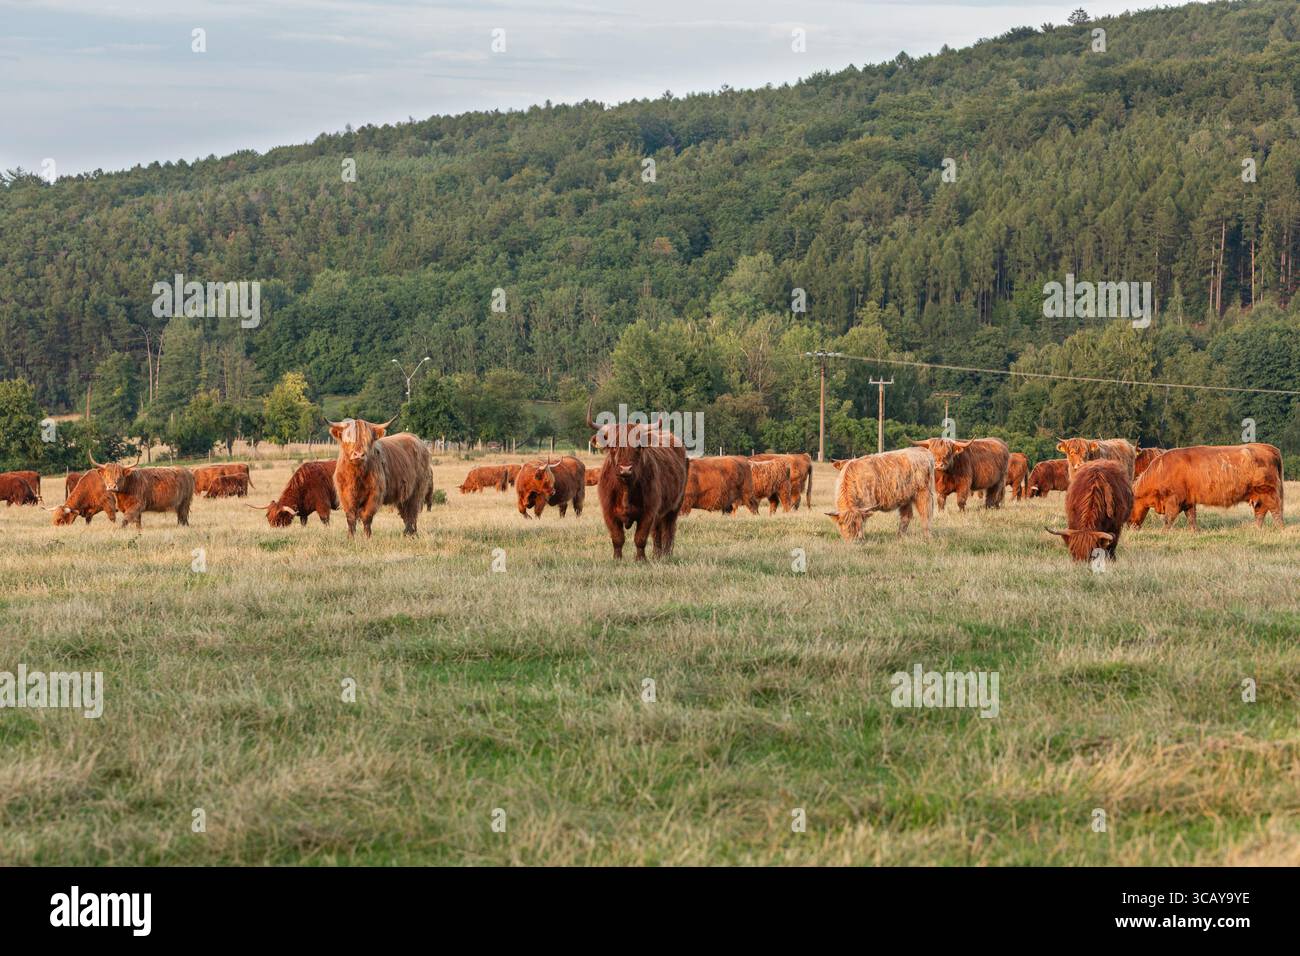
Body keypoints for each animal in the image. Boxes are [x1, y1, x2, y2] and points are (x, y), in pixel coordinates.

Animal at [589, 402, 688, 561]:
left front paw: (640, 559)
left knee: (668, 529)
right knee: (657, 531)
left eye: (638, 446)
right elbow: (617, 537)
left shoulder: (649, 512)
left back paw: (666, 555)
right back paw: (657, 554)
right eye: (613, 446)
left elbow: (640, 537)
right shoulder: (608, 512)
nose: (625, 469)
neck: (625, 489)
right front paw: (617, 559)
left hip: (675, 505)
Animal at [1129, 444, 1283, 531]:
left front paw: (1163, 533)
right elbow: (1191, 518)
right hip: (1259, 495)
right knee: (1260, 512)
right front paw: (1194, 532)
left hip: (1268, 491)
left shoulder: (1173, 500)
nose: (1128, 526)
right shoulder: (1188, 501)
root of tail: (1267, 447)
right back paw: (1256, 529)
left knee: (1276, 510)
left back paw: (1280, 528)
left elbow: (1168, 519)